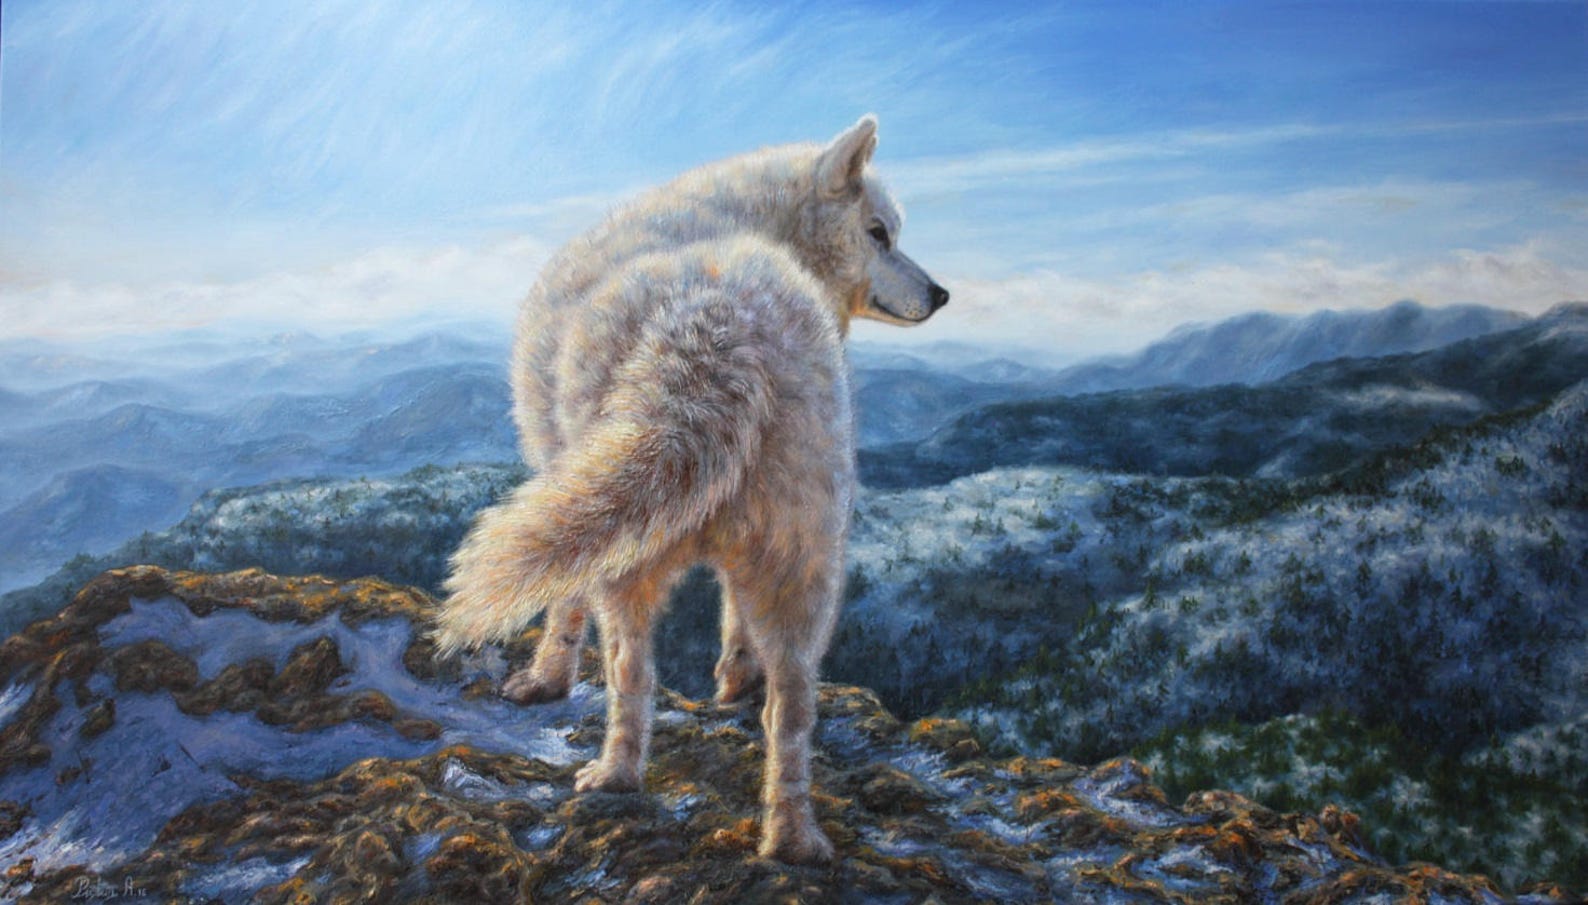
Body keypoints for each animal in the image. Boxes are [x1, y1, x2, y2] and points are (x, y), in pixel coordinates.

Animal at [433, 115, 947, 863]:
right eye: (880, 233)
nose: (941, 295)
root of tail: (718, 325)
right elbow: (731, 614)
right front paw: (736, 676)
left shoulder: (563, 470)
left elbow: (565, 603)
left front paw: (543, 680)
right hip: (803, 544)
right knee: (793, 705)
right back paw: (790, 838)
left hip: (635, 548)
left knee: (631, 673)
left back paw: (615, 775)